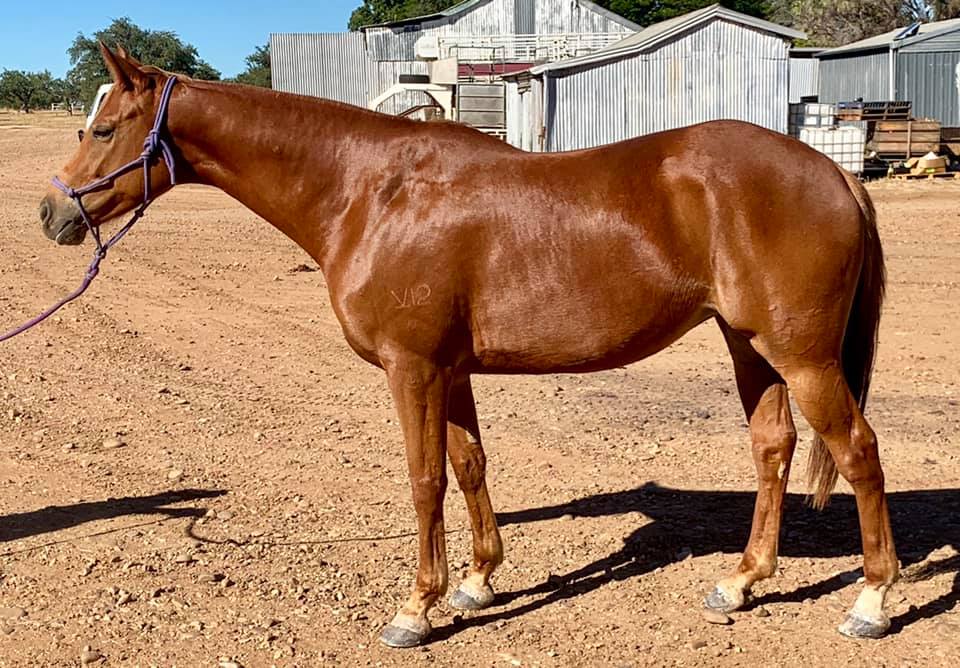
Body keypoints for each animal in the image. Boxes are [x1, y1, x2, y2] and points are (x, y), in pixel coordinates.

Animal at [38, 43, 897, 647]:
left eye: (105, 127)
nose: (53, 214)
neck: (369, 193)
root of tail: (834, 174)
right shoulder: (449, 371)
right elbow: (469, 463)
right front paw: (478, 583)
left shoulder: (411, 368)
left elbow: (424, 481)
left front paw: (415, 608)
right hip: (751, 345)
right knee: (773, 446)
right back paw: (743, 581)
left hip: (802, 356)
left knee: (857, 451)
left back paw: (872, 600)